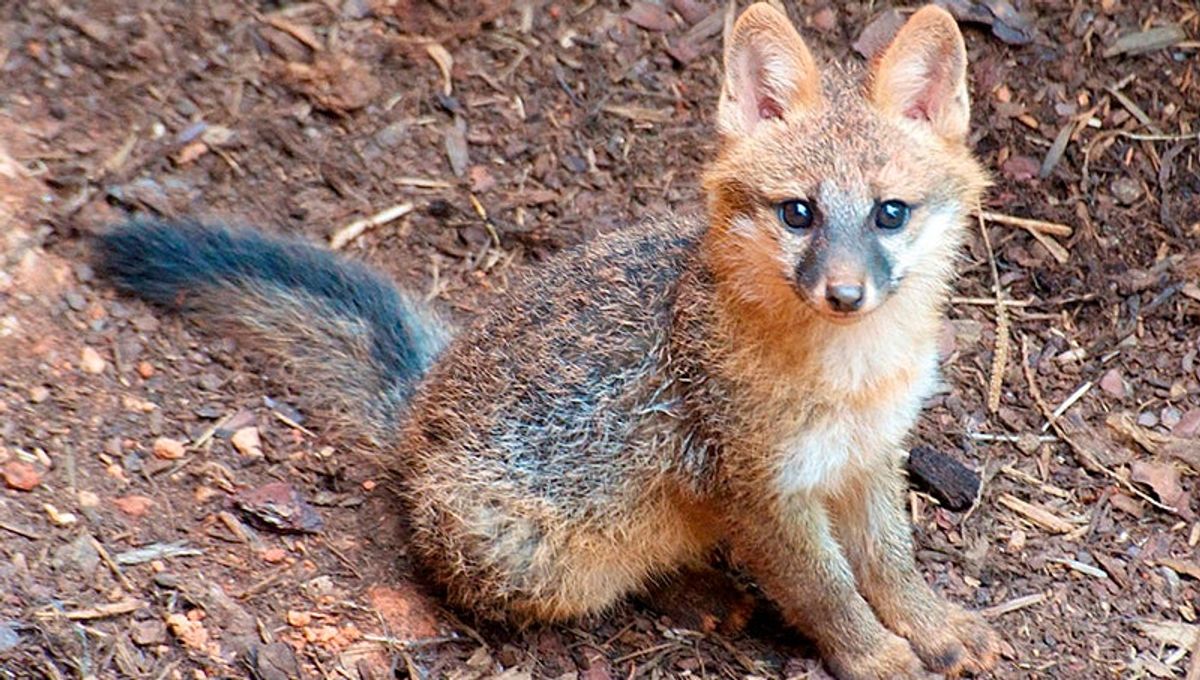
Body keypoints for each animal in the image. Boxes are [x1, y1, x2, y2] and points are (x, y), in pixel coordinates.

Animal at [96, 4, 1001, 678]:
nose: (844, 293)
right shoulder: (759, 491)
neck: (851, 379)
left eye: (889, 213)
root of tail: (423, 401)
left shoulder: (870, 458)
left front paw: (935, 627)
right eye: (799, 213)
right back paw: (696, 590)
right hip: (550, 554)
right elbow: (826, 591)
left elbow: (889, 563)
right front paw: (877, 656)